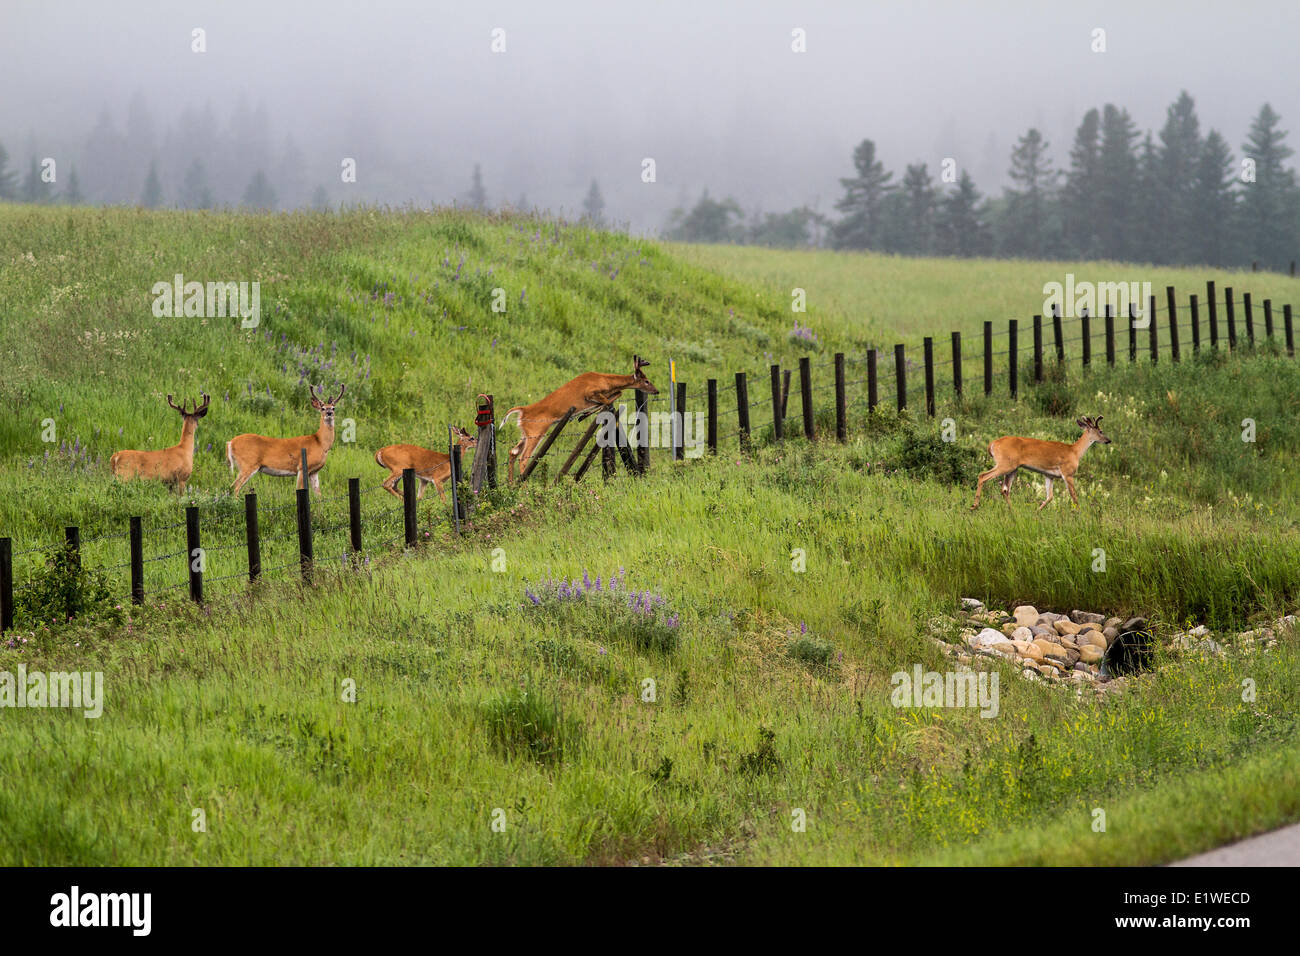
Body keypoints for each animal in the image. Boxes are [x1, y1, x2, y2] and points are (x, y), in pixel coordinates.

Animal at [501, 355, 658, 481]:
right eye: (646, 381)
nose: (657, 391)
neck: (605, 381)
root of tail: (523, 411)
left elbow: (617, 394)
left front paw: (584, 415)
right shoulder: (590, 392)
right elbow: (610, 399)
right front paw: (584, 415)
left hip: (525, 433)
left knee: (513, 452)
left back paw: (511, 484)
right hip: (536, 431)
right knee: (523, 457)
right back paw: (523, 485)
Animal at [972, 415, 1111, 511]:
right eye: (1101, 431)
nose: (1108, 440)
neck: (1074, 451)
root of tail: (992, 444)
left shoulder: (1049, 475)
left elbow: (1050, 497)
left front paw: (1036, 512)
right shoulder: (1067, 473)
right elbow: (1074, 496)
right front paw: (1079, 513)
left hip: (1012, 468)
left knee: (1005, 489)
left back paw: (1013, 511)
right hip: (1005, 464)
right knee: (983, 476)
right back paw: (974, 506)